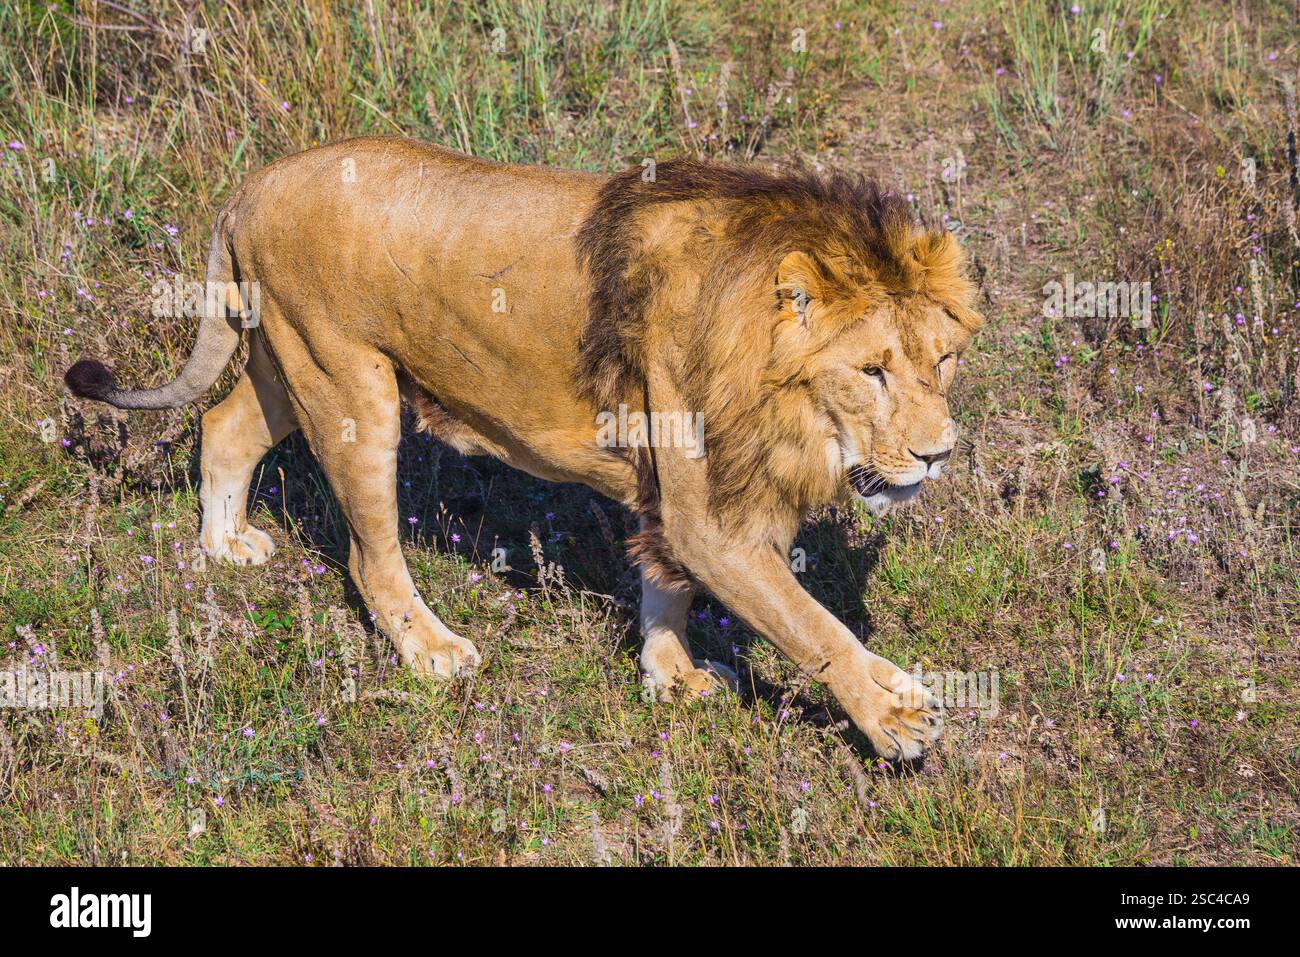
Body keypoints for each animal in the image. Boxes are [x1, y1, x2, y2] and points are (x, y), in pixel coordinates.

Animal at [65, 137, 981, 760]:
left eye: (942, 360)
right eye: (871, 371)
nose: (938, 455)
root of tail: (254, 183)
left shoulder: (680, 499)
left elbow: (668, 586)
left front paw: (671, 679)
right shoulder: (710, 516)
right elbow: (813, 625)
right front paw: (895, 713)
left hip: (285, 365)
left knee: (223, 426)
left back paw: (221, 546)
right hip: (350, 386)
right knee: (368, 553)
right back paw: (432, 652)